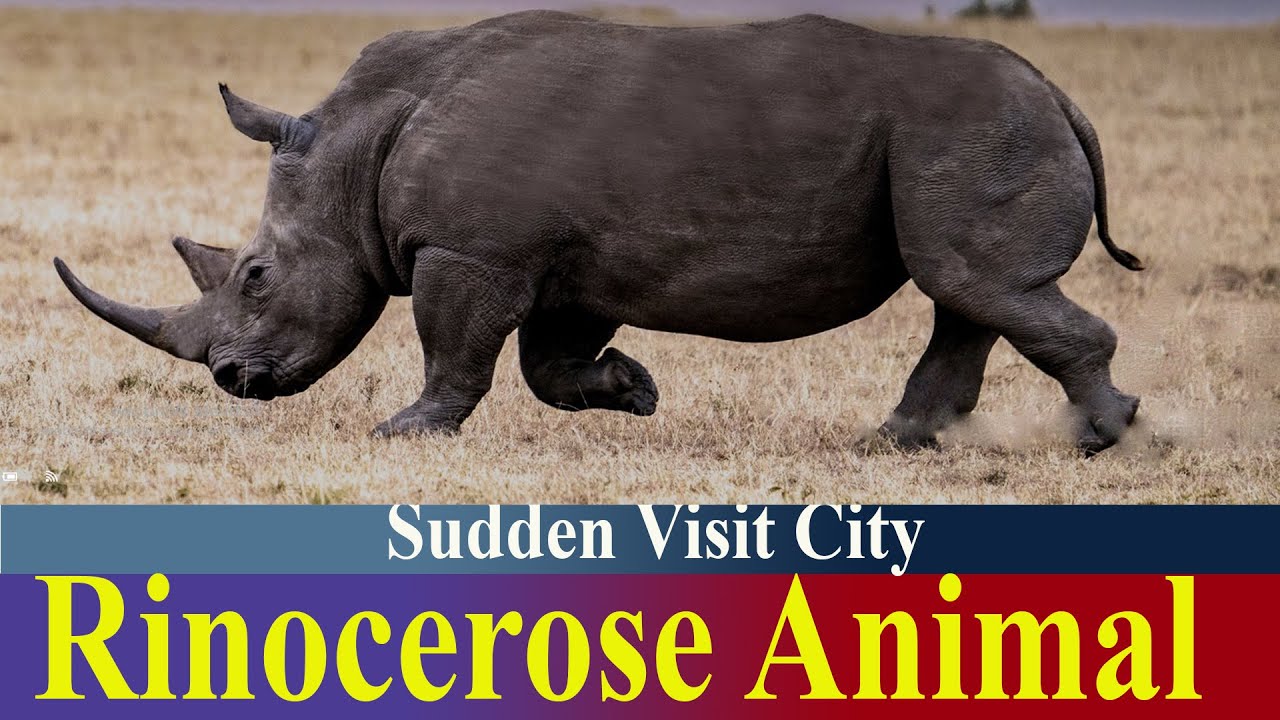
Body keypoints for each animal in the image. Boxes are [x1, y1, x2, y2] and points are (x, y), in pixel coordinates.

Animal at [55, 11, 1145, 454]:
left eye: (252, 276)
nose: (232, 381)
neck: (358, 140)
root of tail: (1060, 94)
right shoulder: (556, 261)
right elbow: (545, 365)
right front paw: (633, 392)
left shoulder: (472, 250)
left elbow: (454, 351)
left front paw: (403, 432)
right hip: (966, 135)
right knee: (962, 289)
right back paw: (892, 447)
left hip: (970, 129)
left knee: (975, 283)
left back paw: (1106, 437)